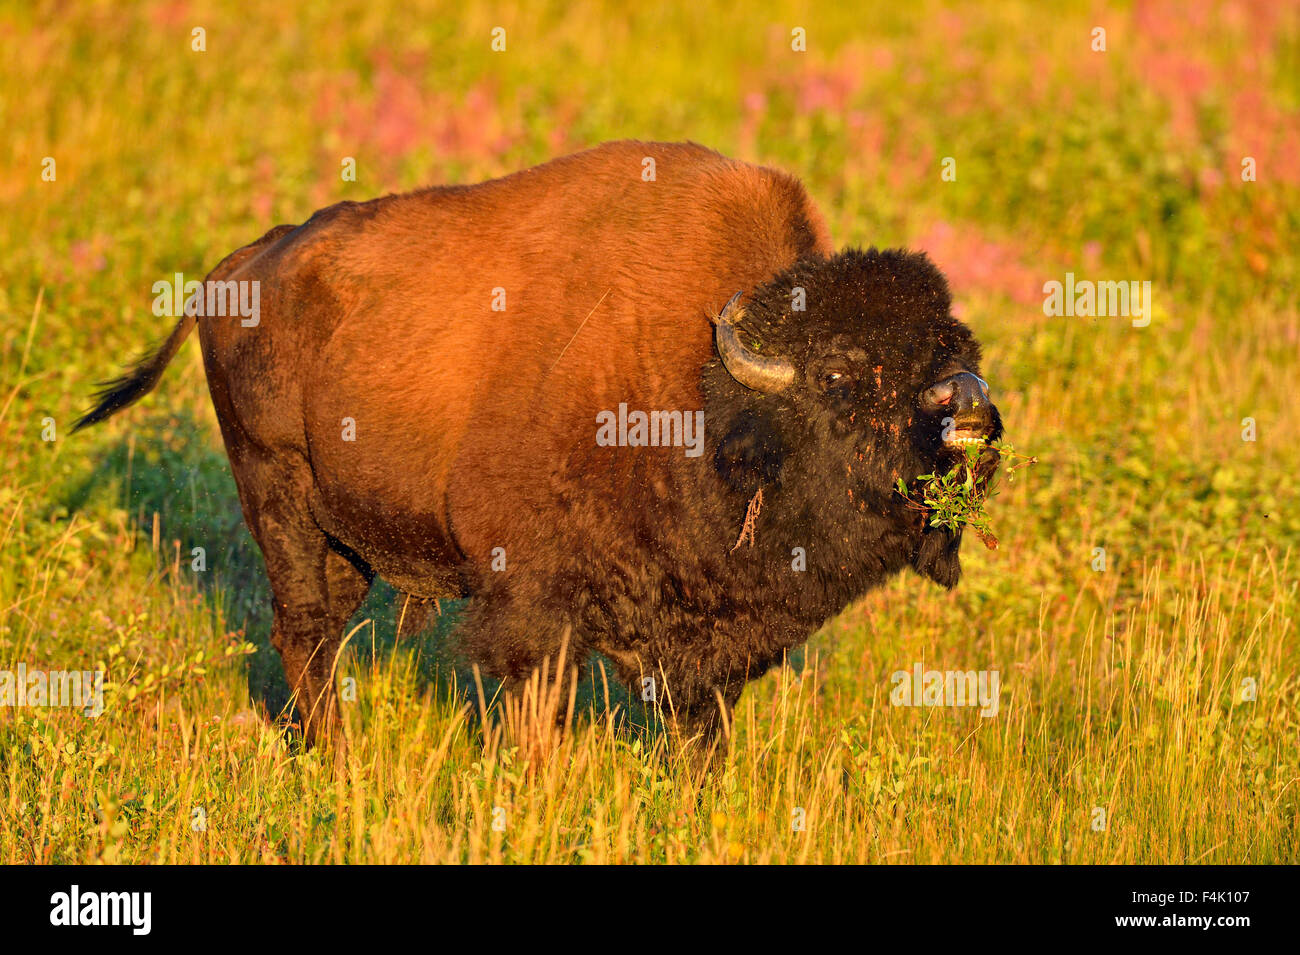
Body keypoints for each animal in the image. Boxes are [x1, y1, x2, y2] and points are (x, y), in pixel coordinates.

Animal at [76, 140, 1002, 756]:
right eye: (841, 372)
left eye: (958, 355)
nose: (969, 416)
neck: (709, 396)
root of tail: (234, 269)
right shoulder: (533, 603)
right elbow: (540, 705)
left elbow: (698, 726)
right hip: (279, 497)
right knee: (301, 632)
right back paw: (338, 761)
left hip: (345, 533)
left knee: (321, 634)